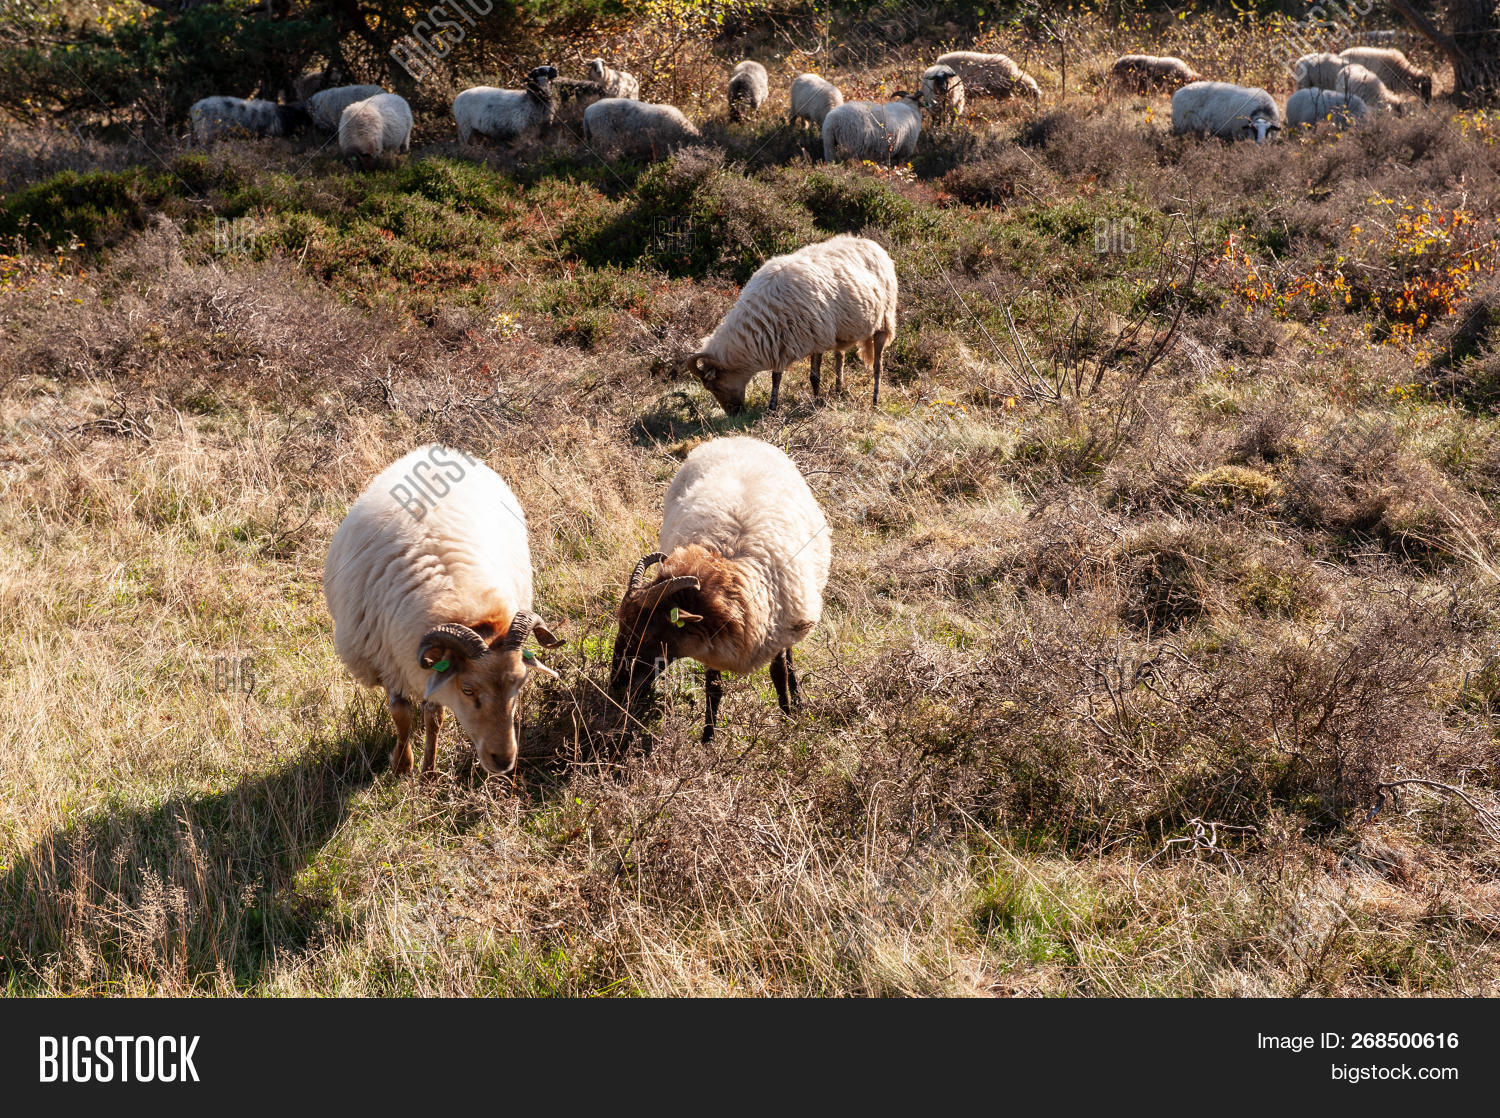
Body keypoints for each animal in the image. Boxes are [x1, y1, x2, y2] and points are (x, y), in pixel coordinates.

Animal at [323, 444, 564, 778]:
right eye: (468, 690)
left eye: (520, 683)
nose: (504, 761)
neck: (464, 604)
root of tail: (439, 450)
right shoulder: (386, 659)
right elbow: (400, 714)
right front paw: (402, 764)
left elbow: (433, 716)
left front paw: (429, 771)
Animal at [609, 437, 831, 745]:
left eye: (647, 632)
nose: (617, 682)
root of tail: (736, 438)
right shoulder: (712, 643)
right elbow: (713, 689)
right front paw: (708, 739)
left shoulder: (777, 630)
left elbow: (779, 673)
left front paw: (787, 719)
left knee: (788, 659)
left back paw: (797, 700)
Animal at [685, 234, 898, 414]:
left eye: (713, 385)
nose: (734, 414)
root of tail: (871, 243)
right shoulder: (778, 342)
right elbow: (776, 376)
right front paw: (772, 408)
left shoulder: (816, 338)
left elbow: (814, 376)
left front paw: (815, 402)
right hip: (842, 333)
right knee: (840, 358)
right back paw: (838, 391)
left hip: (884, 321)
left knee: (878, 365)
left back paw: (875, 400)